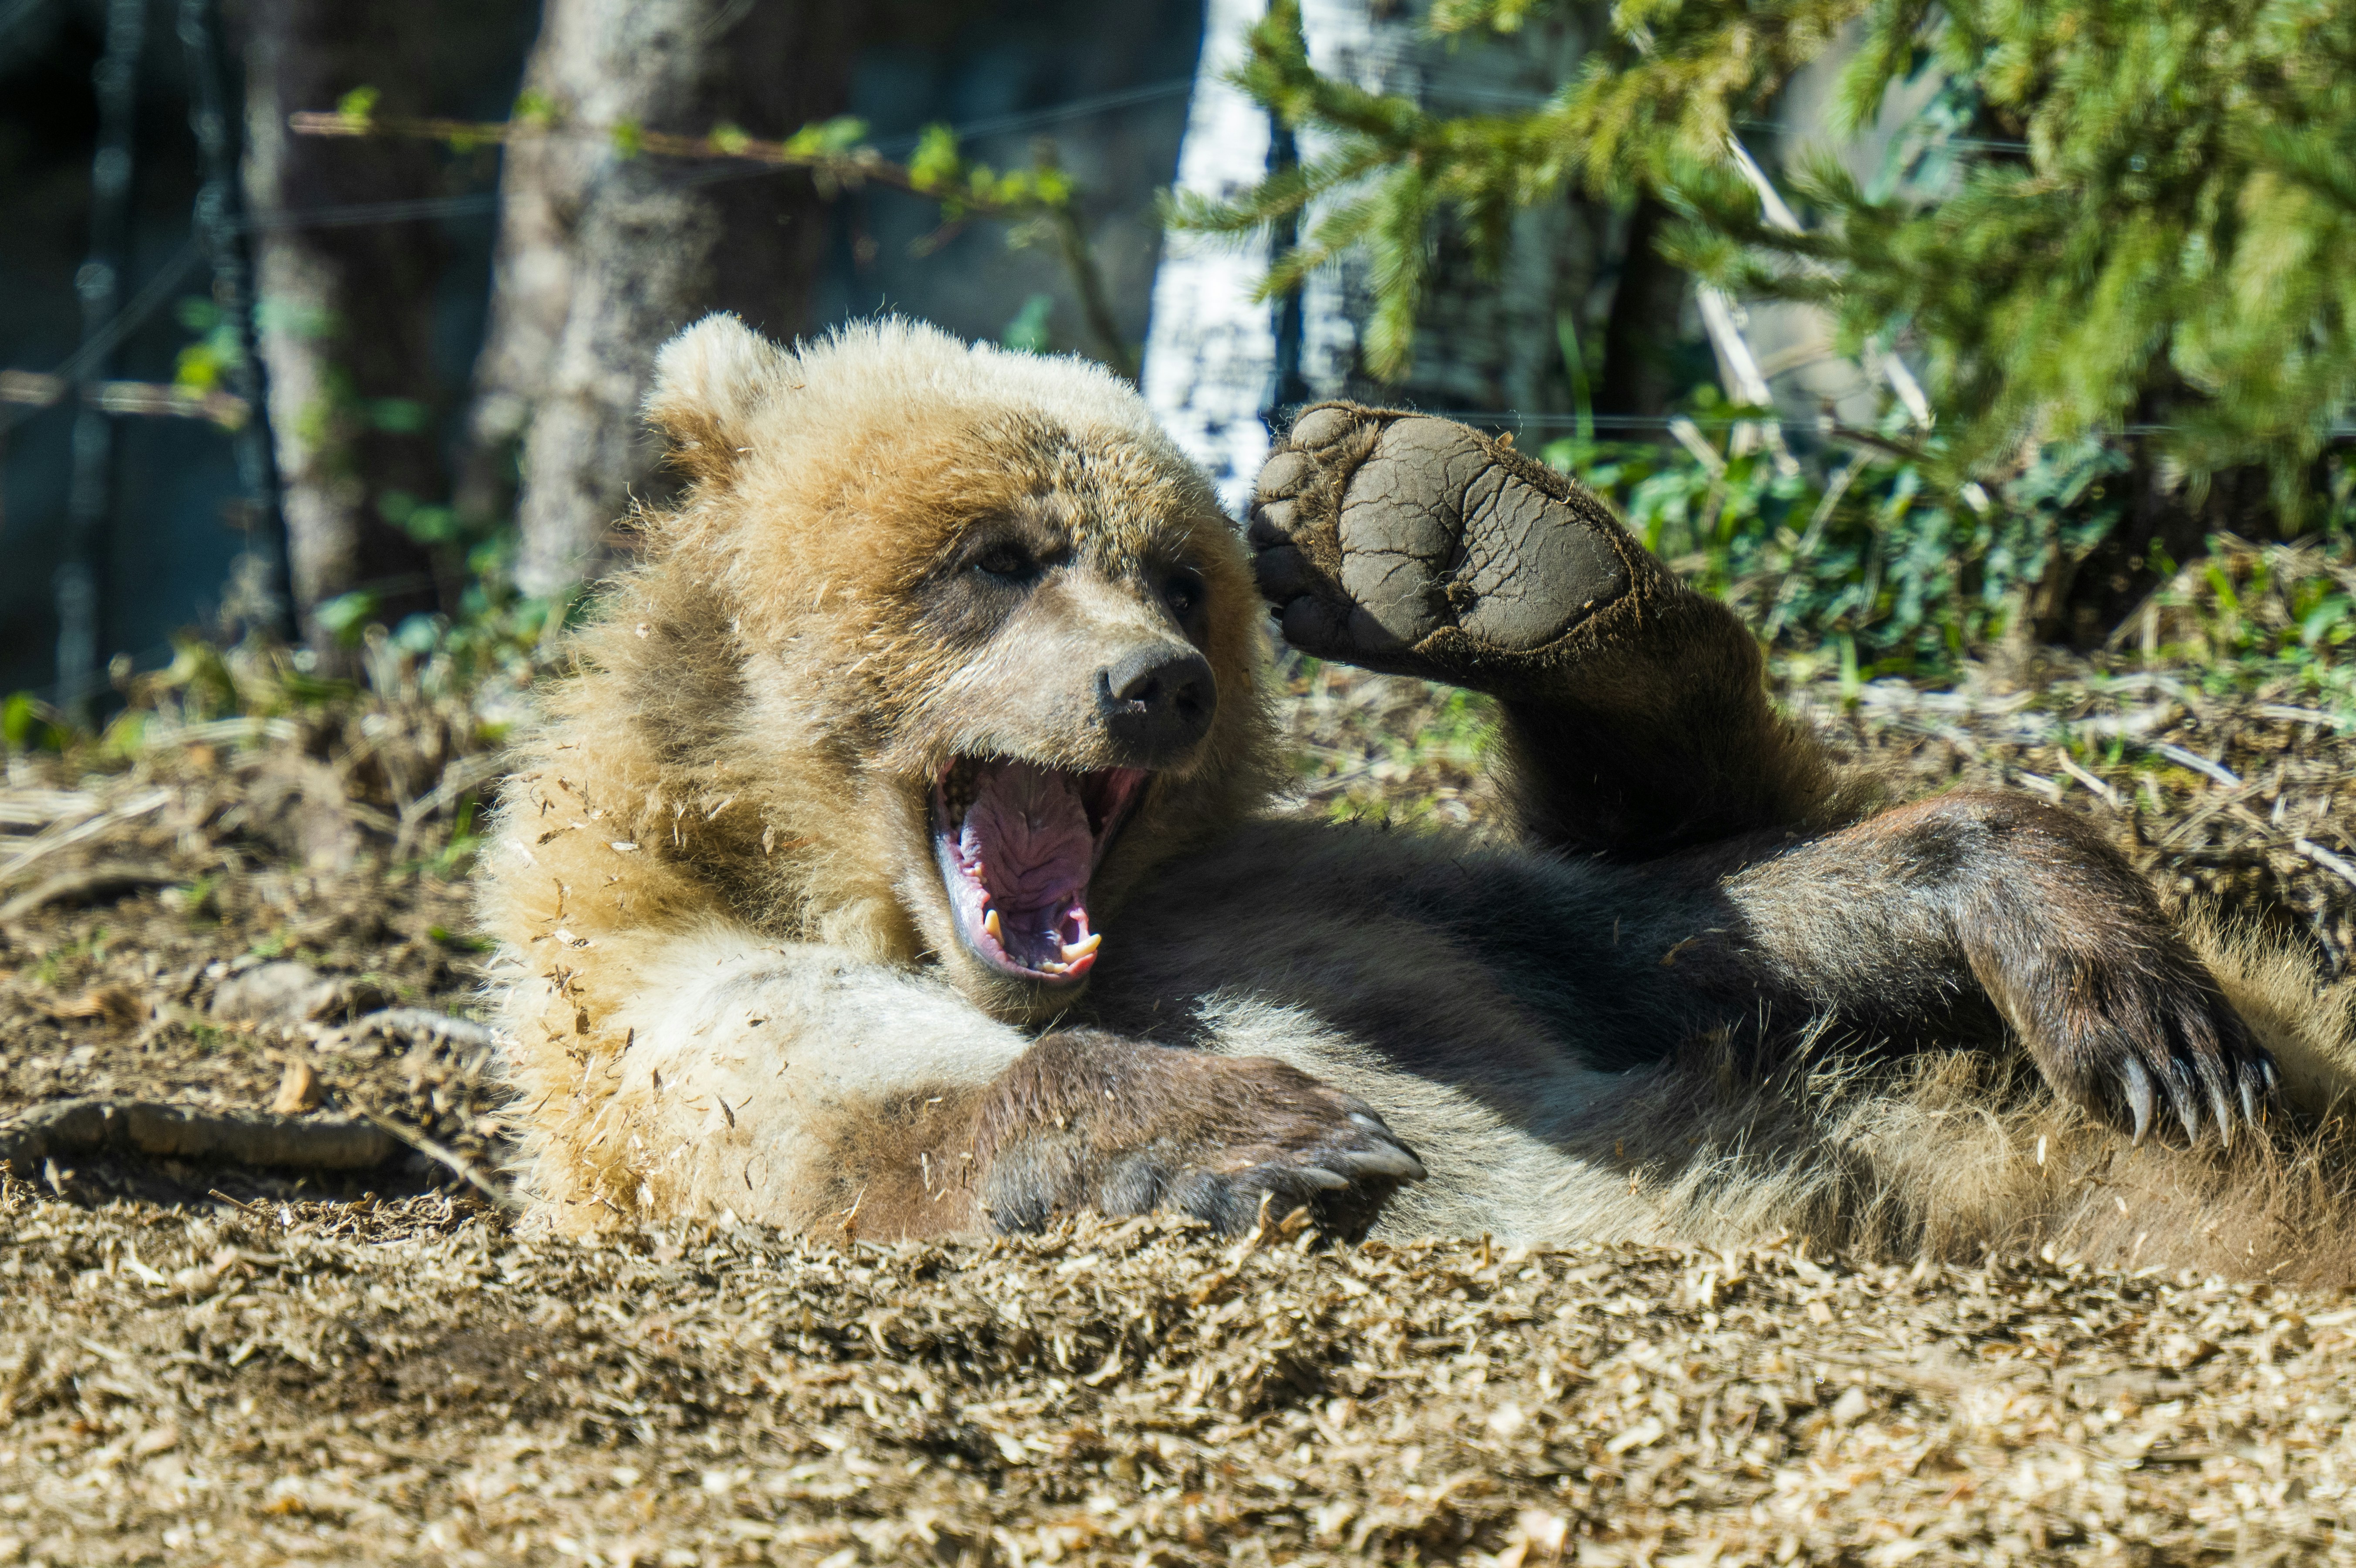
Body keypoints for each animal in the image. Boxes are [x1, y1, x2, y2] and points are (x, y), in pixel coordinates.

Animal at [479, 314, 2356, 1279]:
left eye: (1174, 575)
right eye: (994, 559)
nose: (1157, 685)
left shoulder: (1314, 901)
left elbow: (1648, 939)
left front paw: (2126, 1004)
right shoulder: (659, 1013)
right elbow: (862, 1129)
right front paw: (1278, 1126)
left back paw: (1457, 532)